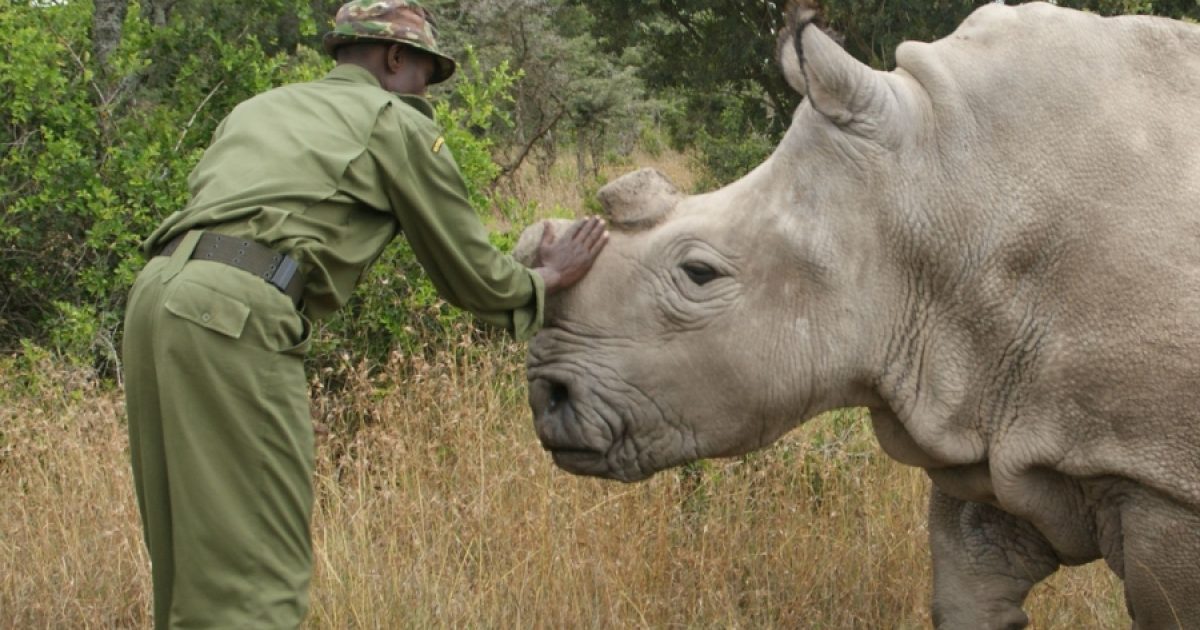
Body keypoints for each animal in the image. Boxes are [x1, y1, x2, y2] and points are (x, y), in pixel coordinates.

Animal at [515, 2, 1200, 628]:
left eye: (699, 273)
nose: (547, 395)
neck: (941, 184)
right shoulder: (984, 399)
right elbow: (965, 593)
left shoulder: (1163, 484)